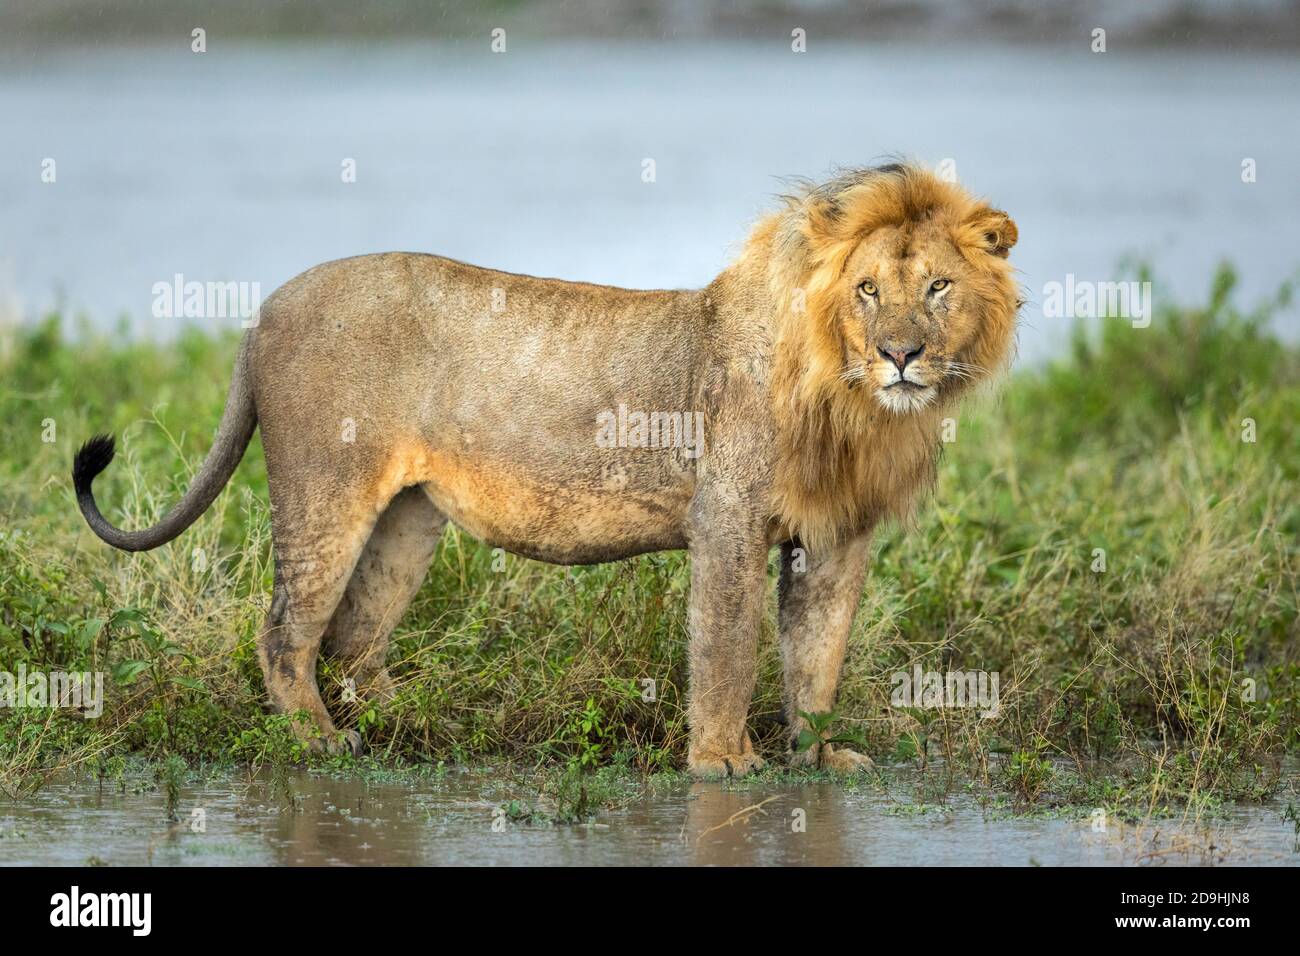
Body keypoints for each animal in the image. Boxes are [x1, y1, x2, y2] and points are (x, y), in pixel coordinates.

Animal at [73, 163, 1019, 776]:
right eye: (867, 290)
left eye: (937, 288)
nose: (902, 355)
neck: (852, 404)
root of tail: (263, 309)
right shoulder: (727, 519)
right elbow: (725, 650)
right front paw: (722, 761)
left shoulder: (835, 538)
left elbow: (817, 659)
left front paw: (821, 756)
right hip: (325, 493)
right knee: (283, 632)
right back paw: (317, 741)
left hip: (406, 518)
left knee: (352, 639)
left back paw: (414, 717)